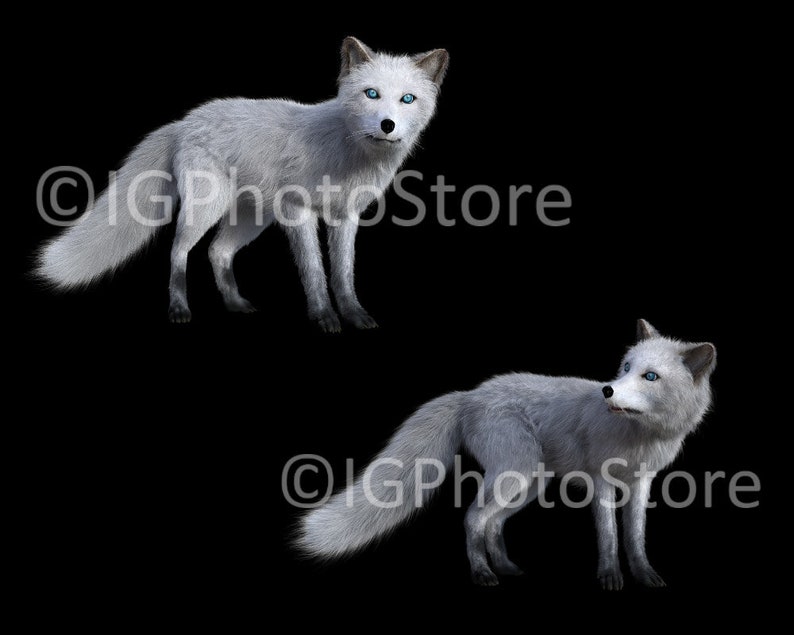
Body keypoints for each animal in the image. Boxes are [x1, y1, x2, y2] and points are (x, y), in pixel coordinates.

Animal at [35, 37, 449, 329]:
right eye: (371, 94)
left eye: (407, 99)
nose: (387, 125)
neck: (347, 151)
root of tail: (185, 122)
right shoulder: (298, 211)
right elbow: (314, 271)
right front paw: (324, 317)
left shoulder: (344, 216)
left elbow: (344, 272)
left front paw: (354, 315)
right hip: (207, 209)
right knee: (178, 251)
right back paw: (179, 309)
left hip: (253, 219)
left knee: (218, 252)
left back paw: (235, 304)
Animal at [298, 320, 717, 589]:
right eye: (626, 367)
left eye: (650, 376)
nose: (607, 391)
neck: (639, 435)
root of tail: (471, 395)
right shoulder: (600, 479)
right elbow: (609, 535)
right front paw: (610, 577)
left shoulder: (641, 483)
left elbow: (635, 536)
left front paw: (646, 576)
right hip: (515, 471)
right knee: (473, 517)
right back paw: (483, 574)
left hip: (530, 483)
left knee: (494, 522)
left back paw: (506, 567)